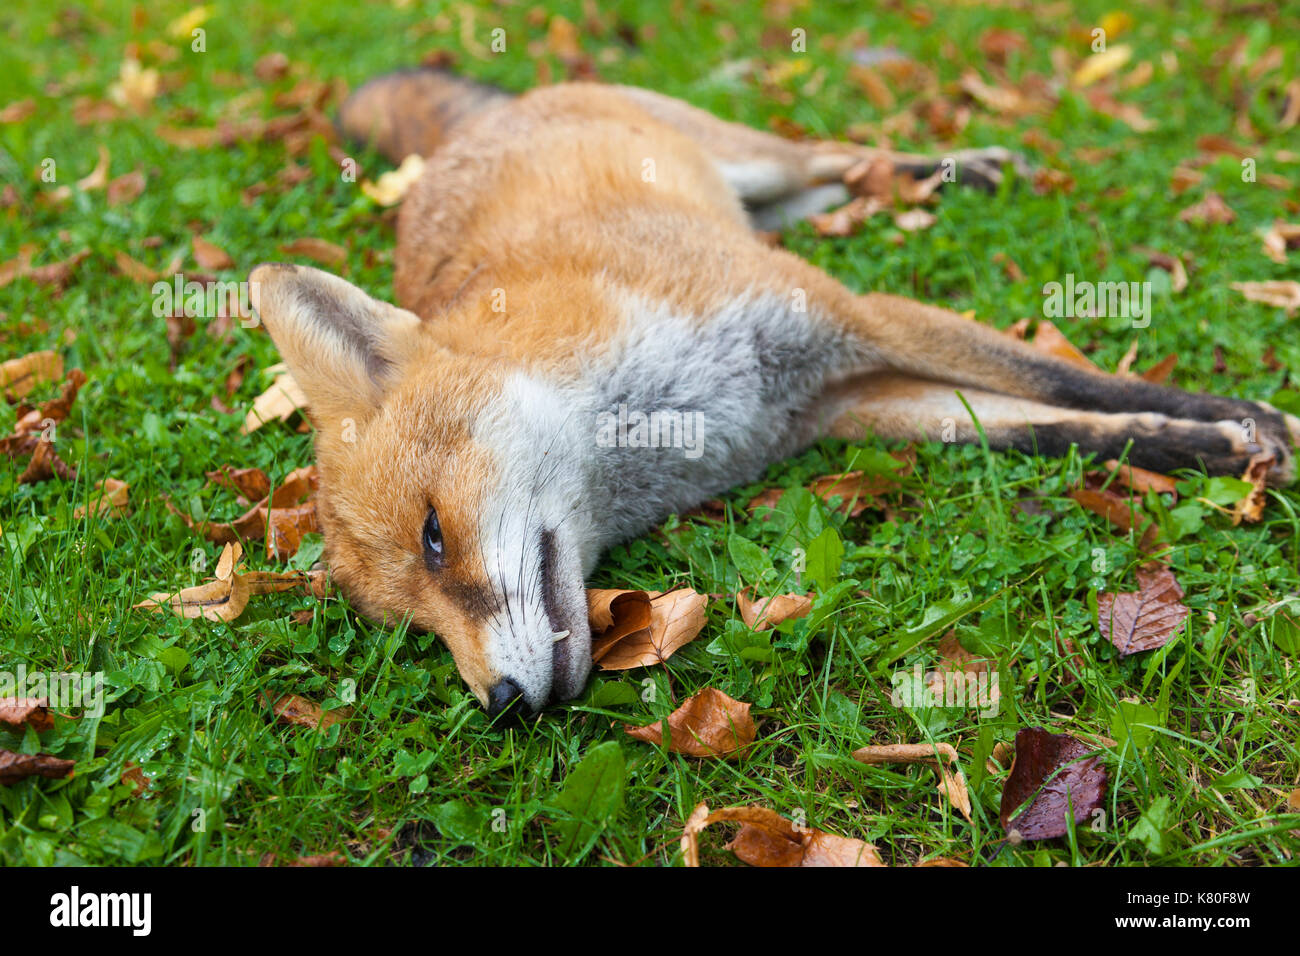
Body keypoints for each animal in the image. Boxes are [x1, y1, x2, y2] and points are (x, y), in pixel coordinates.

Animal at [247, 68, 1298, 717]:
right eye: (415, 628)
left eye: (434, 537)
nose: (501, 707)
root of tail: (470, 132)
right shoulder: (844, 404)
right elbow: (1059, 431)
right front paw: (1206, 448)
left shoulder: (853, 318)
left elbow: (1067, 378)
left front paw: (1239, 418)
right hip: (782, 206)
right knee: (843, 185)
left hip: (758, 164)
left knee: (837, 152)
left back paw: (960, 167)